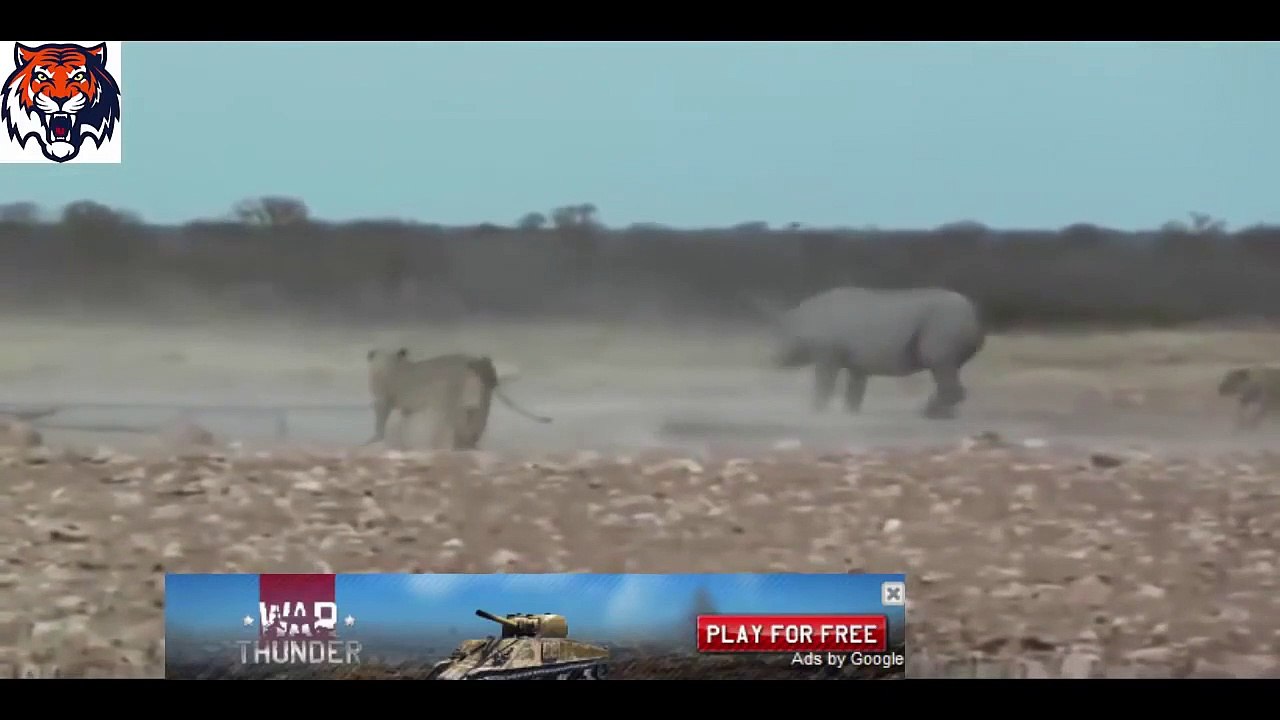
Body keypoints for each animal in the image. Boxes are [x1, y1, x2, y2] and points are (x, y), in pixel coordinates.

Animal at [365, 348, 552, 451]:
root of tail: (474, 362)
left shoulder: (387, 393)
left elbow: (382, 413)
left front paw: (375, 440)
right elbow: (405, 420)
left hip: (453, 391)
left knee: (455, 420)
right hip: (483, 394)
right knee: (477, 418)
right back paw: (469, 445)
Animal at [752, 286, 986, 419]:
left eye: (783, 339)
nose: (773, 360)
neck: (802, 319)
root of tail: (974, 314)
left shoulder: (827, 353)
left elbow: (824, 380)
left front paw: (816, 410)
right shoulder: (857, 362)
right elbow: (856, 386)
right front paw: (849, 412)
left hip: (944, 321)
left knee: (939, 363)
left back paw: (928, 414)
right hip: (948, 321)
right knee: (947, 367)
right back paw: (944, 414)